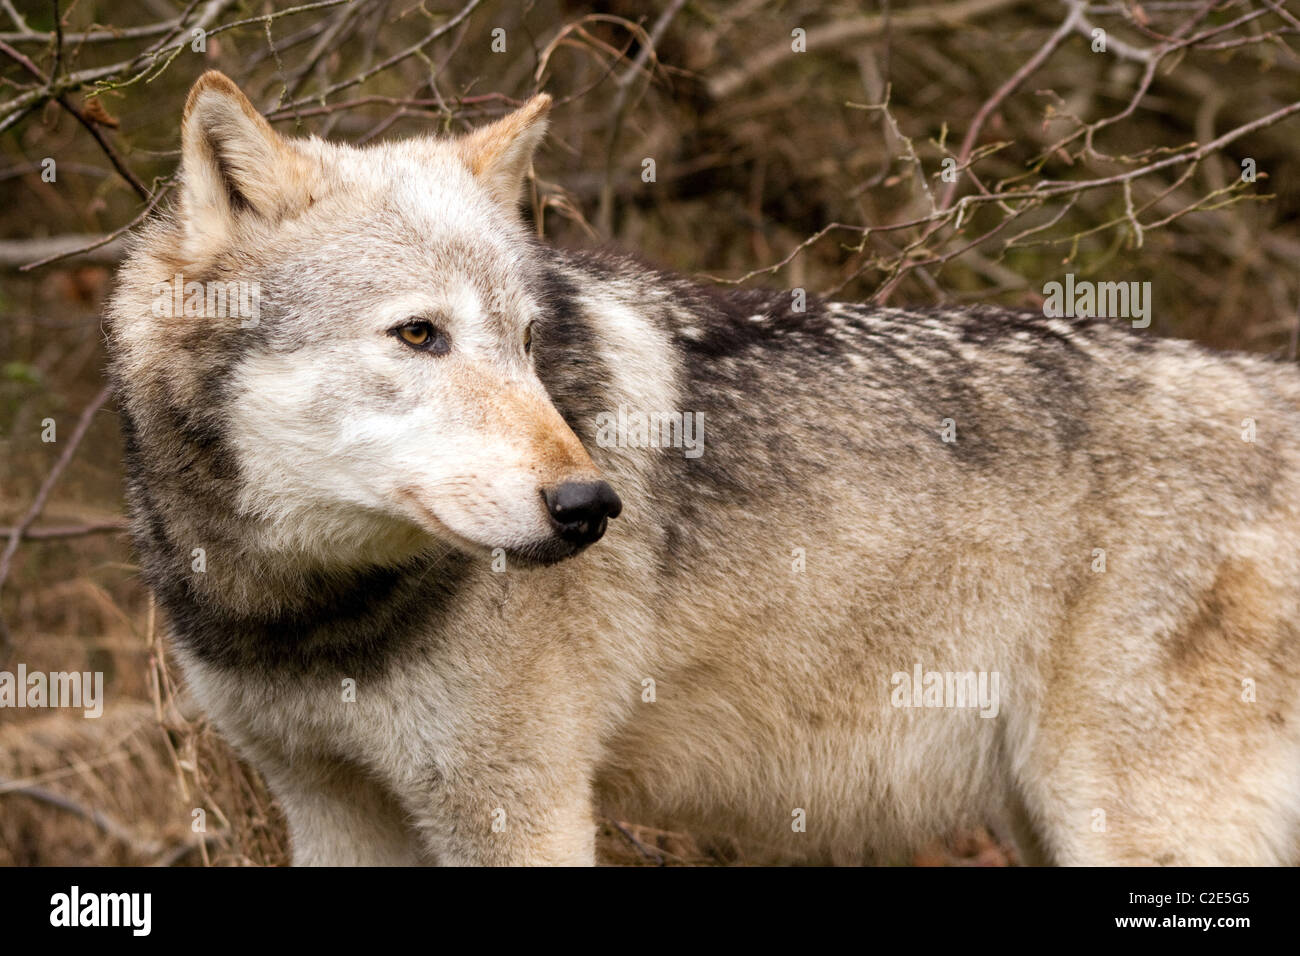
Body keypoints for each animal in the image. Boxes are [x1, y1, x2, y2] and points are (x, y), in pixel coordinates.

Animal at [106, 71, 1300, 865]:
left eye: (531, 342)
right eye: (419, 335)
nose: (589, 506)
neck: (306, 607)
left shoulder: (521, 809)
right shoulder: (330, 808)